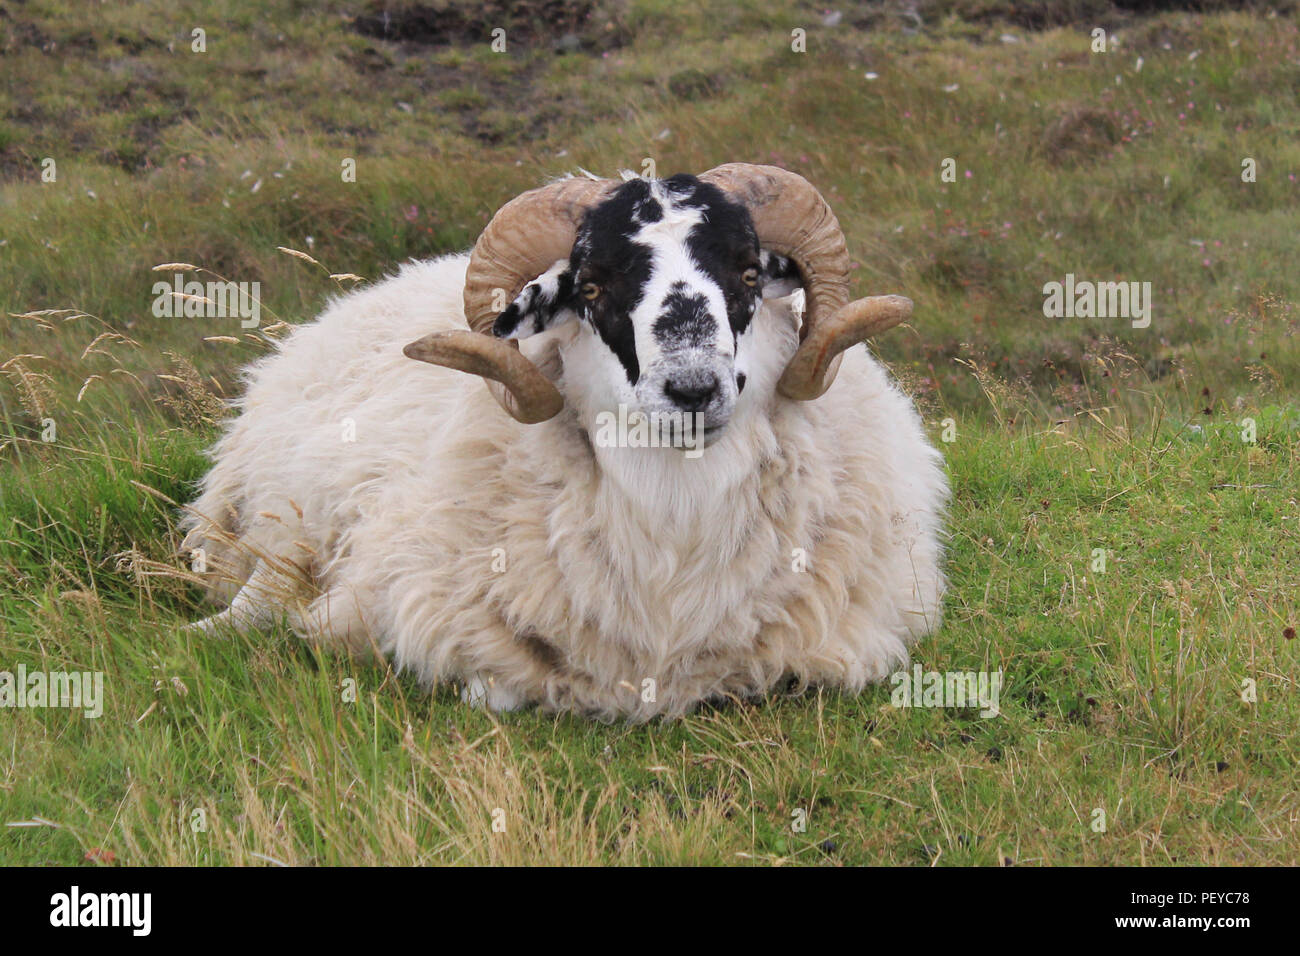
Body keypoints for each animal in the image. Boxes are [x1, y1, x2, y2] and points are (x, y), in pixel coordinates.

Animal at [180, 163, 948, 720]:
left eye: (751, 273)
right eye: (591, 286)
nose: (692, 389)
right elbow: (494, 684)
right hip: (288, 514)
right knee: (255, 597)